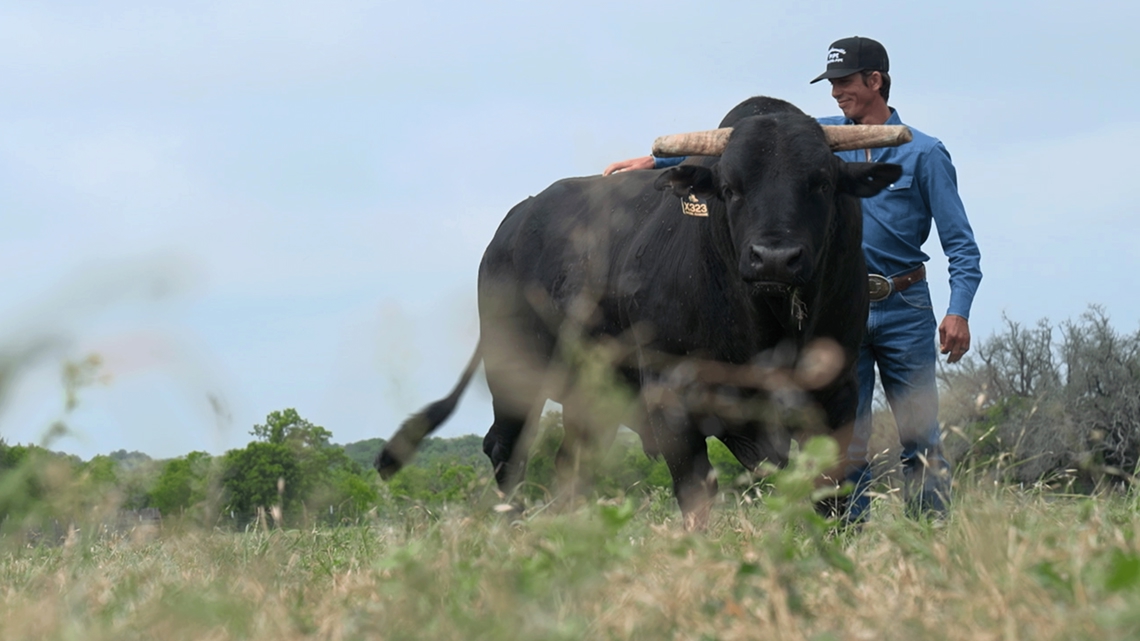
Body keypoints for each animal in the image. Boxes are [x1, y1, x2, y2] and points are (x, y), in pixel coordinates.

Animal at [377, 97, 906, 529]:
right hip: (513, 373)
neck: (765, 324)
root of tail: (513, 222)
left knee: (572, 464)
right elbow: (696, 493)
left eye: (821, 183)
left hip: (590, 395)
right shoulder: (671, 398)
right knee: (506, 450)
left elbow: (829, 494)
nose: (774, 257)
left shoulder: (836, 398)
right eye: (731, 187)